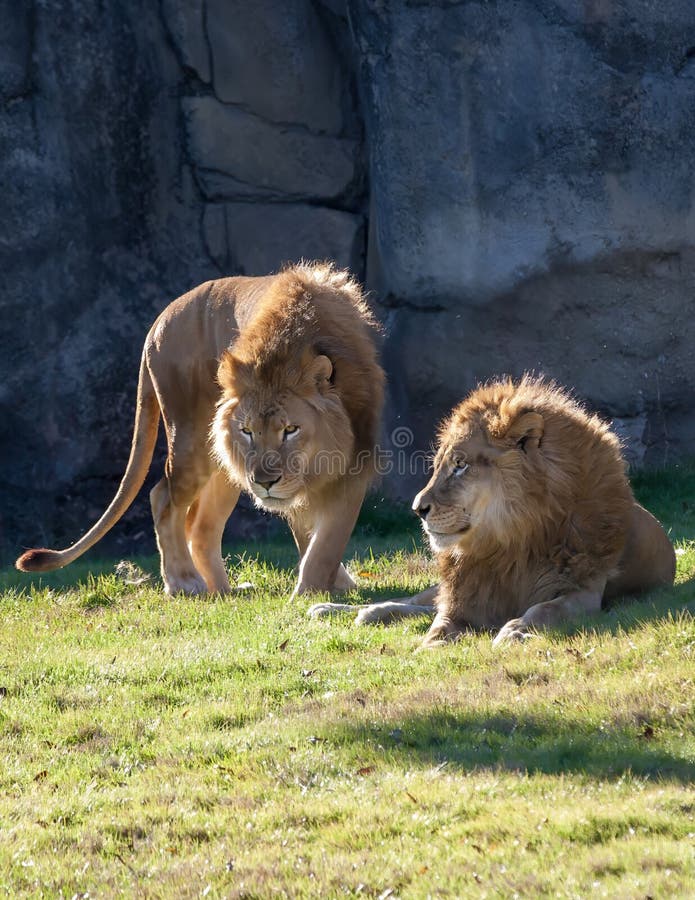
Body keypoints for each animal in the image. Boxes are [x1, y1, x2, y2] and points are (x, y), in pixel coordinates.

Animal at [16, 263, 385, 597]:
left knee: (200, 525)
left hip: (223, 465)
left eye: (291, 429)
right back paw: (184, 582)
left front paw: (329, 585)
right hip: (191, 438)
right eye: (247, 431)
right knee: (163, 499)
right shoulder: (288, 482)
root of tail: (156, 324)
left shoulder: (355, 460)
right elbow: (313, 541)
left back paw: (222, 590)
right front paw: (312, 592)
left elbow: (327, 541)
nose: (264, 482)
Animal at [309, 376, 676, 646]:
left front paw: (516, 630)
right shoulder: (465, 592)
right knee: (414, 601)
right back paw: (341, 609)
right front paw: (432, 643)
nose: (417, 509)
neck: (509, 541)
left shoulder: (584, 592)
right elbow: (441, 621)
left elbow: (544, 609)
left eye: (460, 465)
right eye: (439, 465)